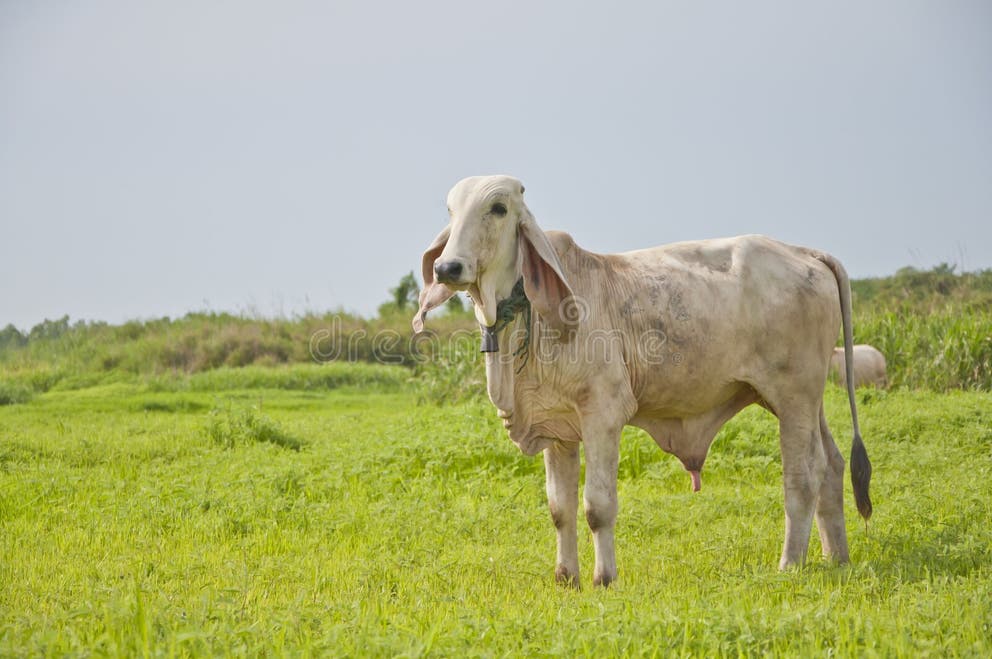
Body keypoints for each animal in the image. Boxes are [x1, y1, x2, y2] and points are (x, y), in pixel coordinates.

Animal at [413, 175, 872, 587]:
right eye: (451, 211)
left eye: (498, 208)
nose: (447, 266)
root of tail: (804, 252)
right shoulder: (559, 430)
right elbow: (560, 510)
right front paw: (566, 578)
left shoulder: (603, 413)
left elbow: (597, 506)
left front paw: (604, 578)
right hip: (802, 399)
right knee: (832, 465)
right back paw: (837, 558)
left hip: (794, 396)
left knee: (804, 474)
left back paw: (790, 564)